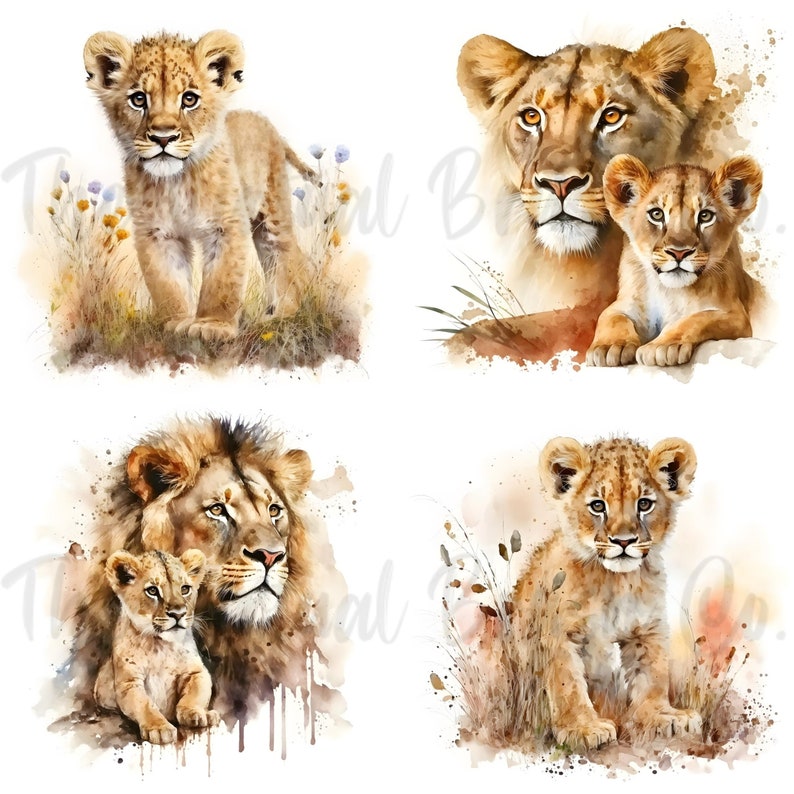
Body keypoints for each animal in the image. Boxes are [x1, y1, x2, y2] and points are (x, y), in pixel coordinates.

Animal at [83, 31, 316, 341]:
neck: (176, 181)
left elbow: (222, 281)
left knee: (285, 253)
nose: (163, 137)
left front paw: (212, 325)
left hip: (273, 209)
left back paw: (282, 314)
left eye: (189, 99)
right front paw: (178, 321)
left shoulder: (226, 225)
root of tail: (265, 121)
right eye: (138, 99)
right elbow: (168, 284)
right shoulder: (156, 233)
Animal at [94, 548, 219, 744]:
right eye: (152, 590)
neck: (161, 645)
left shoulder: (197, 672)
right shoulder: (129, 682)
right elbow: (145, 705)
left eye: (185, 589)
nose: (178, 614)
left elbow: (194, 694)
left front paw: (197, 714)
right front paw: (159, 728)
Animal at [510, 436, 701, 751]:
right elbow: (567, 684)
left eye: (644, 504)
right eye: (598, 506)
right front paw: (583, 729)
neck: (616, 581)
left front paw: (662, 716)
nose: (623, 541)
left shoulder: (647, 629)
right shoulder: (558, 633)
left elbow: (654, 674)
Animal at [587, 154, 764, 367]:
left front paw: (660, 347)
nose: (679, 252)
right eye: (656, 214)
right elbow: (611, 316)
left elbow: (697, 318)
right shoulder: (628, 303)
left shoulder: (736, 316)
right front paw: (609, 347)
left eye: (705, 216)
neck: (669, 292)